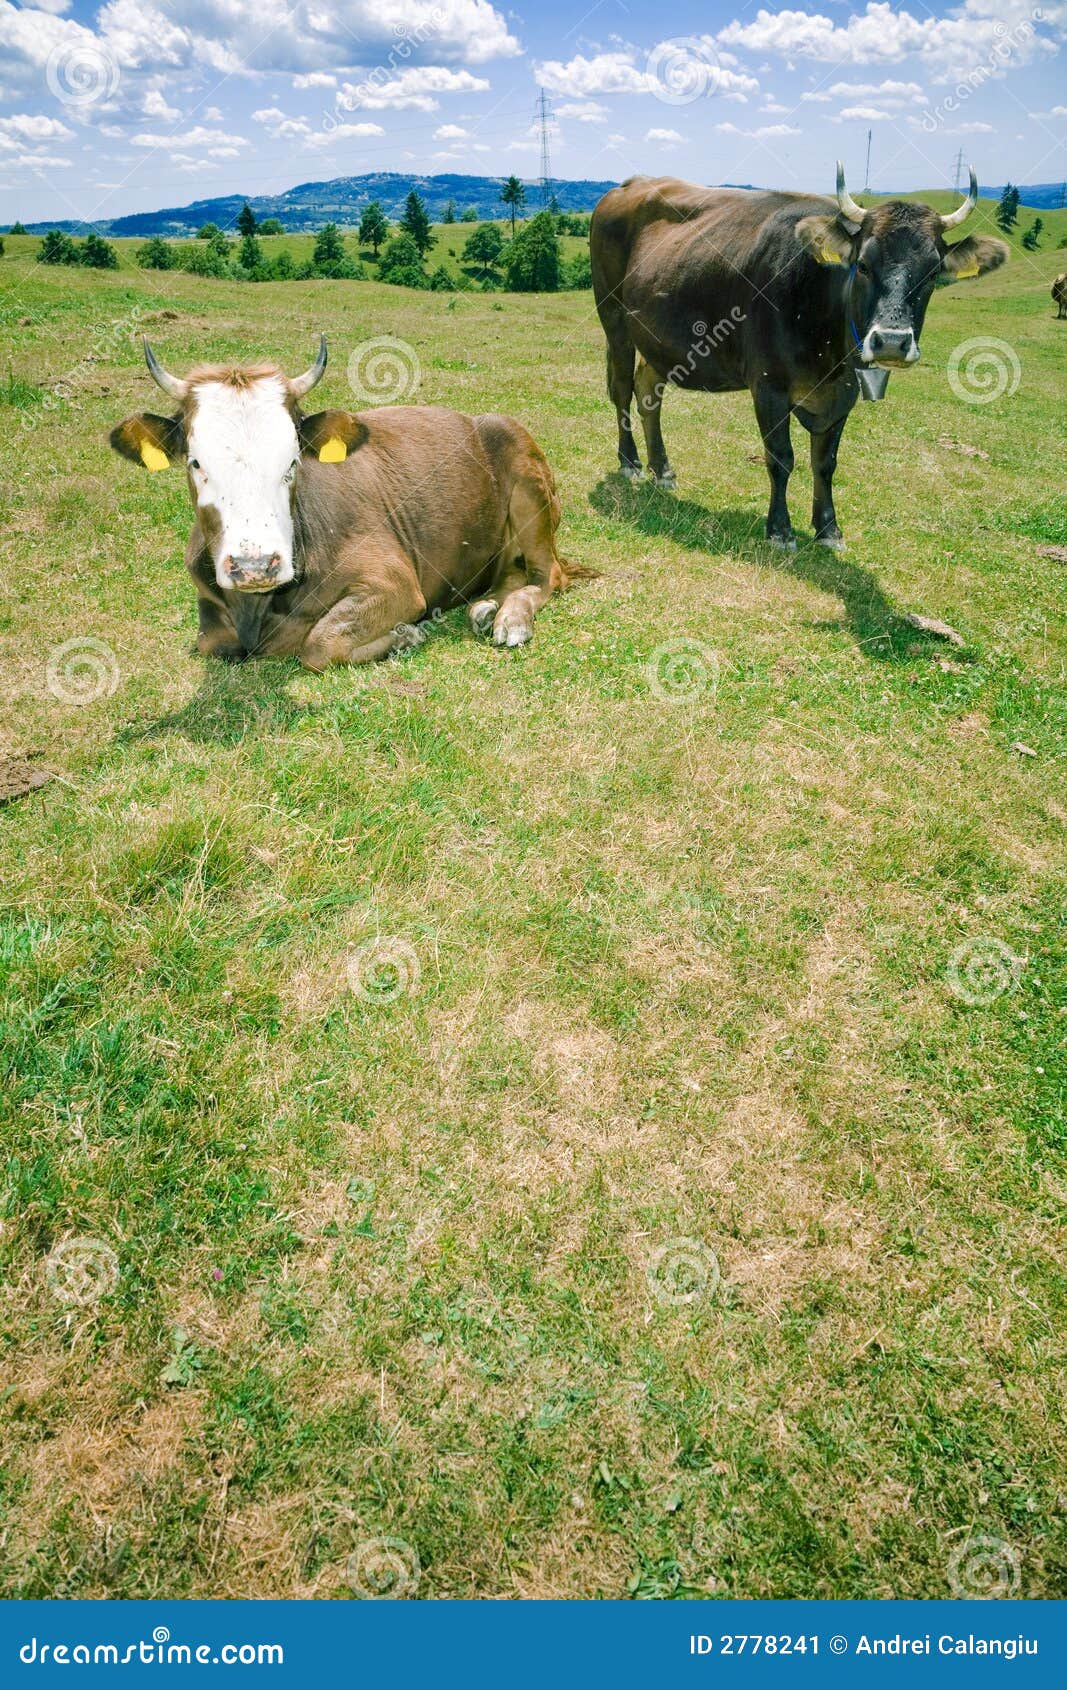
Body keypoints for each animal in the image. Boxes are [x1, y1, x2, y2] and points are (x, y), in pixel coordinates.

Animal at [109, 338, 583, 667]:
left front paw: (407, 636)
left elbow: (320, 642)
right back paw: (485, 608)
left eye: (293, 459)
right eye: (196, 461)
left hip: (528, 480)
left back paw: (510, 620)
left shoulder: (393, 581)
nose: (255, 566)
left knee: (546, 576)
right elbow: (211, 642)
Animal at [591, 164, 1008, 548]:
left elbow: (825, 463)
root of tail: (628, 185)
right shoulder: (768, 386)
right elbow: (781, 457)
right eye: (863, 265)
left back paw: (662, 470)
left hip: (659, 341)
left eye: (933, 273)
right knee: (623, 389)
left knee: (649, 393)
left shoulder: (844, 393)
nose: (891, 341)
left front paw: (828, 528)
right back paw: (630, 462)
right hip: (614, 321)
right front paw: (780, 529)